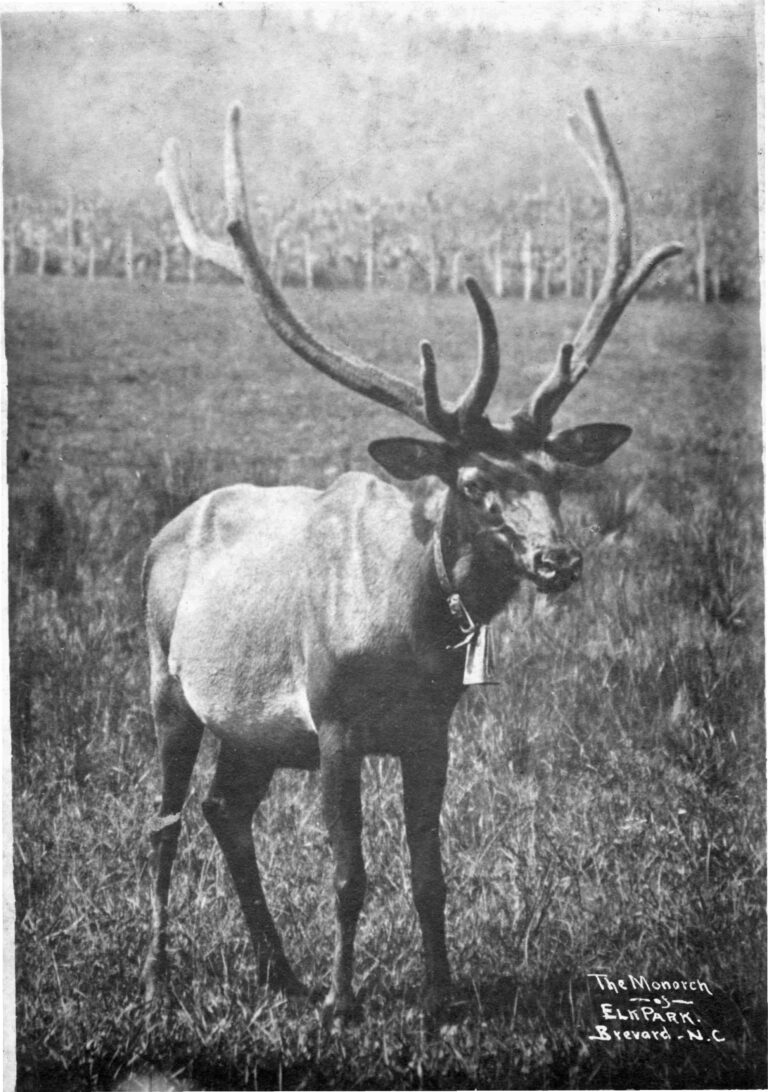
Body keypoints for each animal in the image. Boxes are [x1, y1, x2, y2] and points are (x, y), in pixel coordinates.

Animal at [142, 89, 682, 1020]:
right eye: (472, 479)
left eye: (554, 474)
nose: (558, 561)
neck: (413, 628)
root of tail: (166, 531)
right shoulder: (334, 722)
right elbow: (351, 874)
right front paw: (342, 1003)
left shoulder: (433, 729)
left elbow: (431, 873)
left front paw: (441, 997)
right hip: (167, 685)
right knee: (166, 823)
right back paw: (159, 969)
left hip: (252, 730)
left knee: (224, 810)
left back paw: (278, 969)